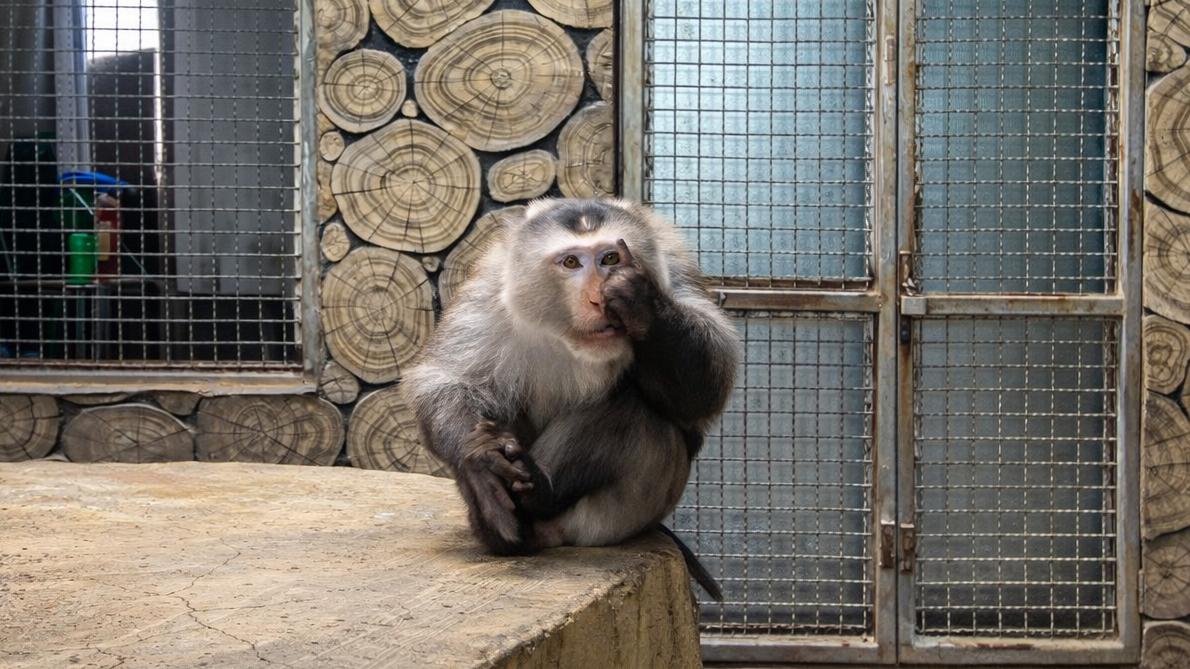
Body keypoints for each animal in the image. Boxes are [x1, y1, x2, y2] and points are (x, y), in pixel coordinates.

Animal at [400, 198, 739, 600]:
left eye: (610, 258)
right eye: (572, 263)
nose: (597, 300)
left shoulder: (673, 266)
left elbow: (708, 388)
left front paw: (641, 303)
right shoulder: (491, 288)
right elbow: (444, 380)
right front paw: (481, 462)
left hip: (620, 517)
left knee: (638, 413)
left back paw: (539, 494)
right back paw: (498, 520)